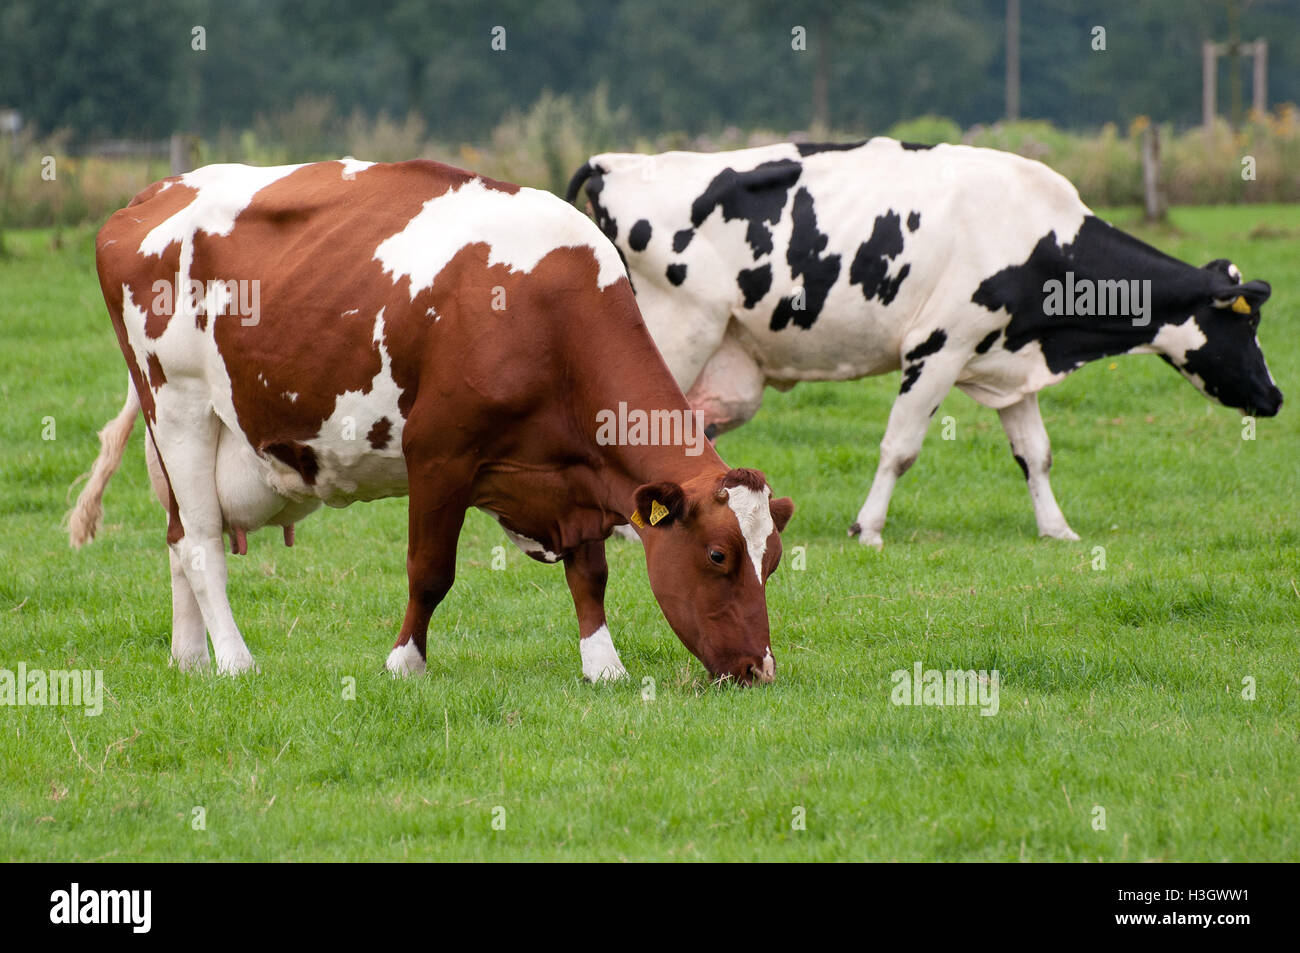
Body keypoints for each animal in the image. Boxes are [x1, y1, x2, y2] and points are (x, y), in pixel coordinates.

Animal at [68, 158, 794, 685]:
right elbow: (430, 570)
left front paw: (604, 665)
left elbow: (590, 573)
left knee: (177, 535)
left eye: (774, 560)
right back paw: (235, 661)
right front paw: (403, 662)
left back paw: (191, 658)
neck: (548, 316)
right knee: (200, 544)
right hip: (180, 405)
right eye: (719, 555)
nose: (759, 668)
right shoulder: (439, 454)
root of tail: (153, 194)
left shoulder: (574, 476)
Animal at [567, 138, 1282, 547]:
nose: (1274, 398)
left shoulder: (1007, 360)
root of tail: (617, 163)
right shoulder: (938, 348)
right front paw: (868, 529)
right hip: (676, 331)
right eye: (1245, 323)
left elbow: (1037, 454)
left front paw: (1057, 529)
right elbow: (901, 447)